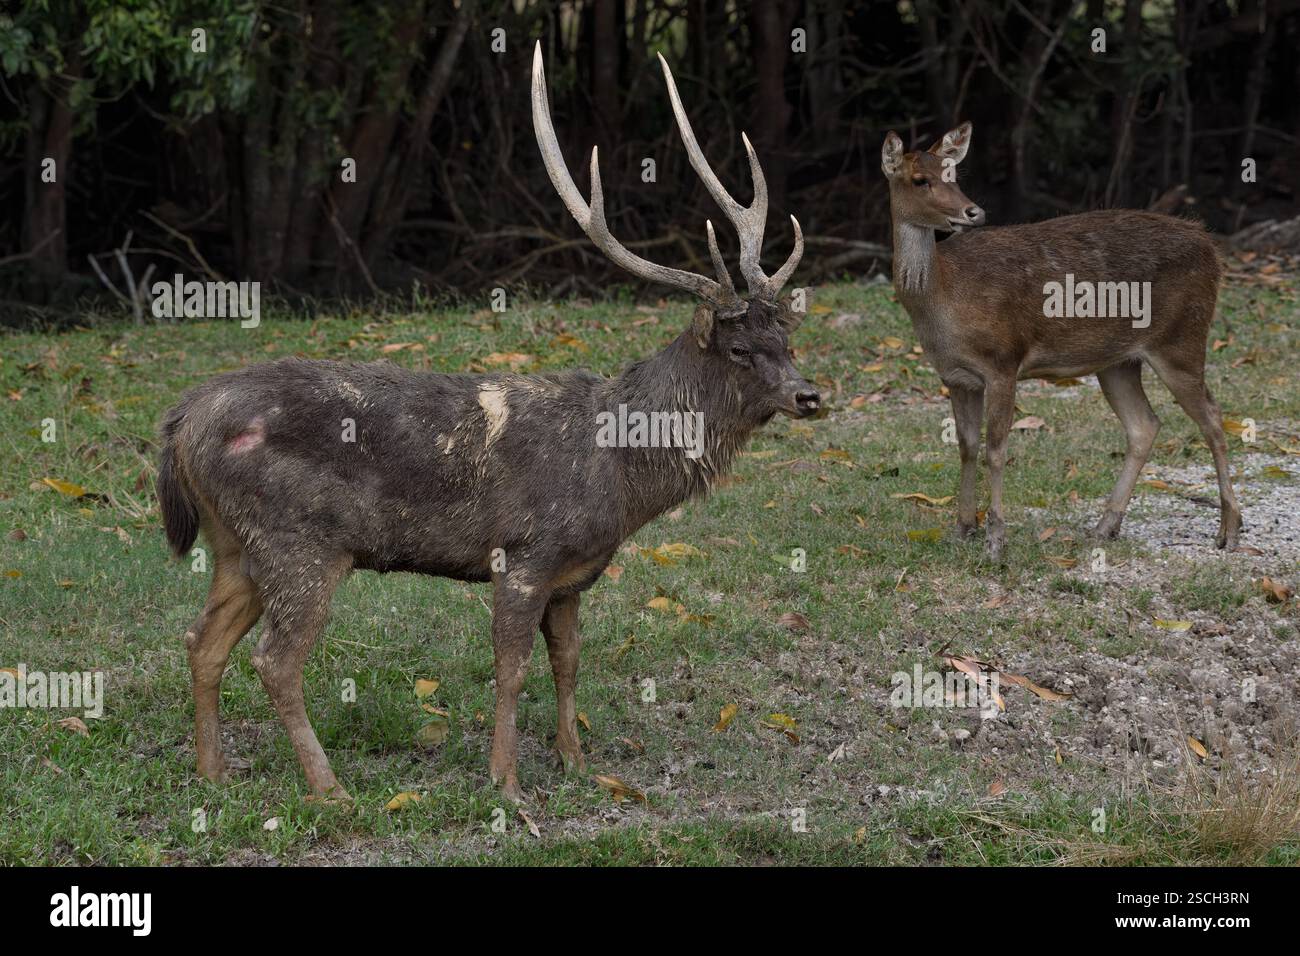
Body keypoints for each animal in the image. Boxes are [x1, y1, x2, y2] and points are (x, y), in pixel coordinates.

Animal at [156, 42, 817, 804]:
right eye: (739, 351)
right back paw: (329, 790)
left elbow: (568, 662)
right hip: (300, 539)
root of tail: (181, 421)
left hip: (234, 543)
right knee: (274, 660)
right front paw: (506, 780)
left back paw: (212, 772)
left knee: (202, 641)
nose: (810, 395)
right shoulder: (526, 552)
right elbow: (511, 669)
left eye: (788, 338)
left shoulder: (574, 577)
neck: (620, 477)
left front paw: (576, 762)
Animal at [880, 122, 1241, 561]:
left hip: (1181, 339)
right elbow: (966, 446)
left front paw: (996, 541)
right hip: (1119, 361)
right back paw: (1105, 526)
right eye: (921, 179)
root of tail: (1212, 248)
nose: (972, 211)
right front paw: (963, 529)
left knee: (1214, 419)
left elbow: (996, 450)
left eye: (955, 175)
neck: (944, 301)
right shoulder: (955, 376)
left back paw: (1228, 530)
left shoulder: (1003, 361)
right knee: (1145, 425)